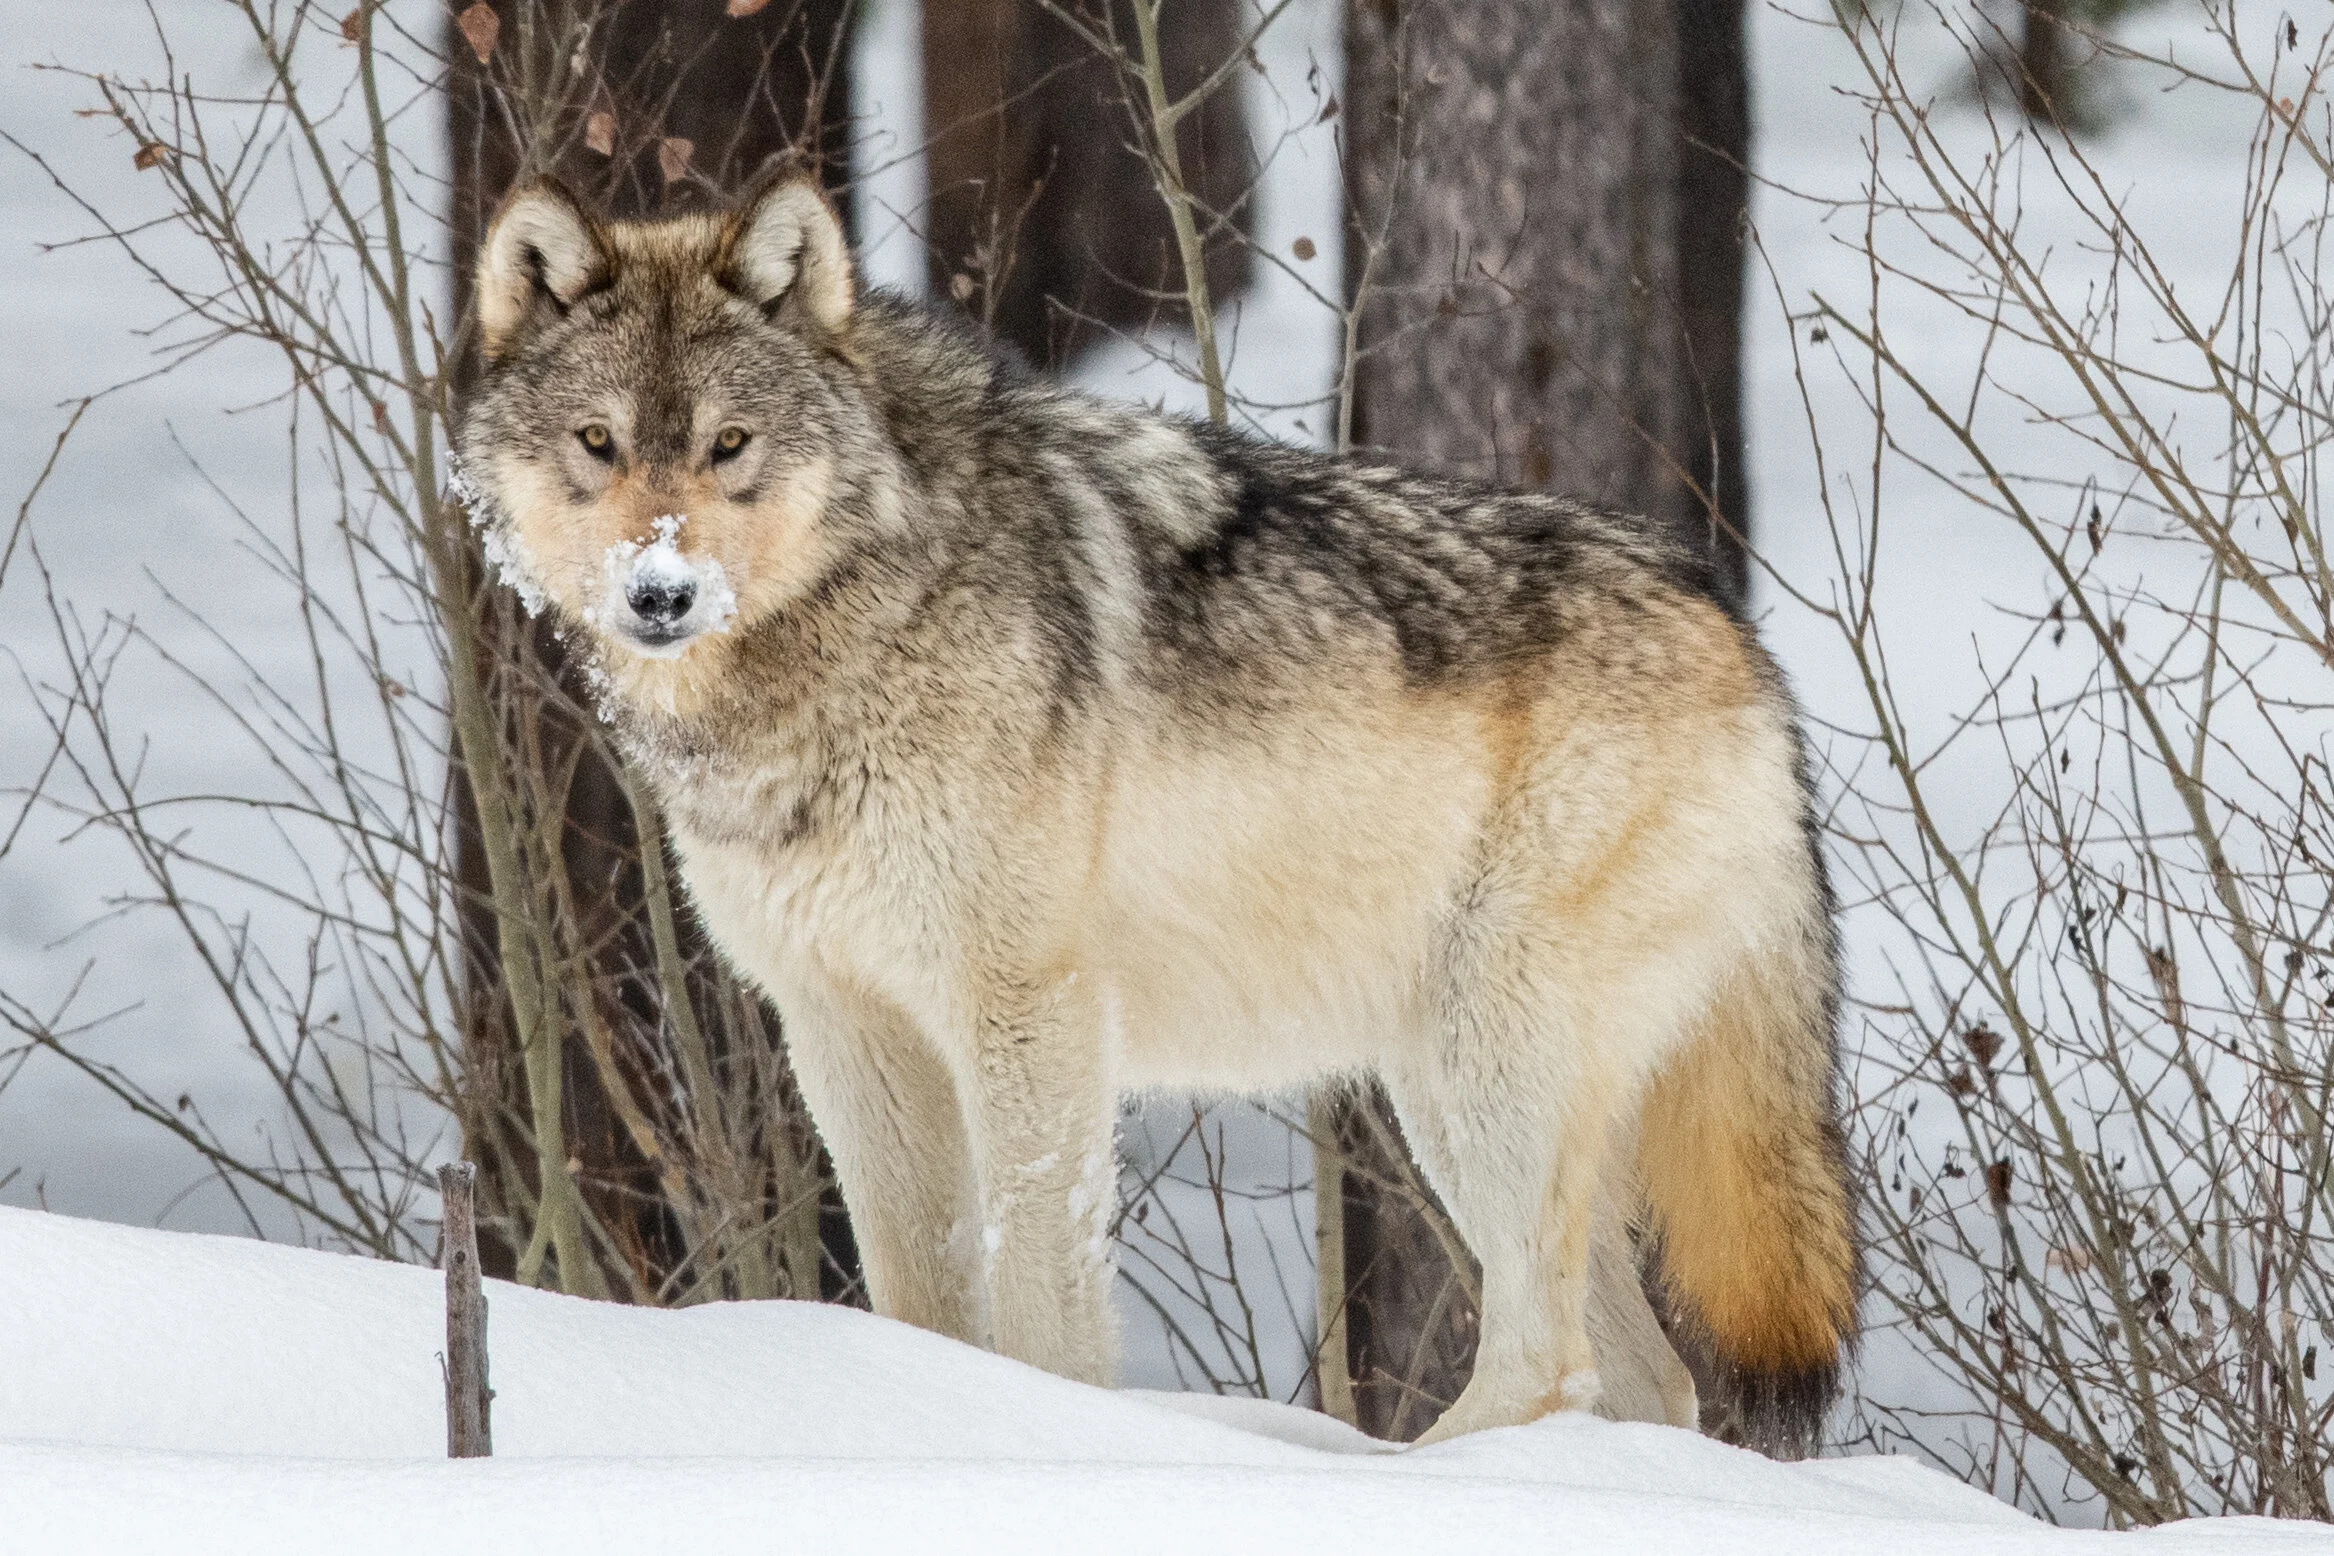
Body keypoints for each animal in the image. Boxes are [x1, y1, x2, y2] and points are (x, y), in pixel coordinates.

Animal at [457, 171, 1860, 1451]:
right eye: (598, 443)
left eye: (731, 445)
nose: (660, 592)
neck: (853, 627)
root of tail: (1736, 627)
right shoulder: (844, 1021)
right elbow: (917, 1292)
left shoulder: (1028, 1004)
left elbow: (1039, 1291)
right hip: (1452, 1090)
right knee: (1642, 1378)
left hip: (1486, 1065)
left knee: (1549, 1356)